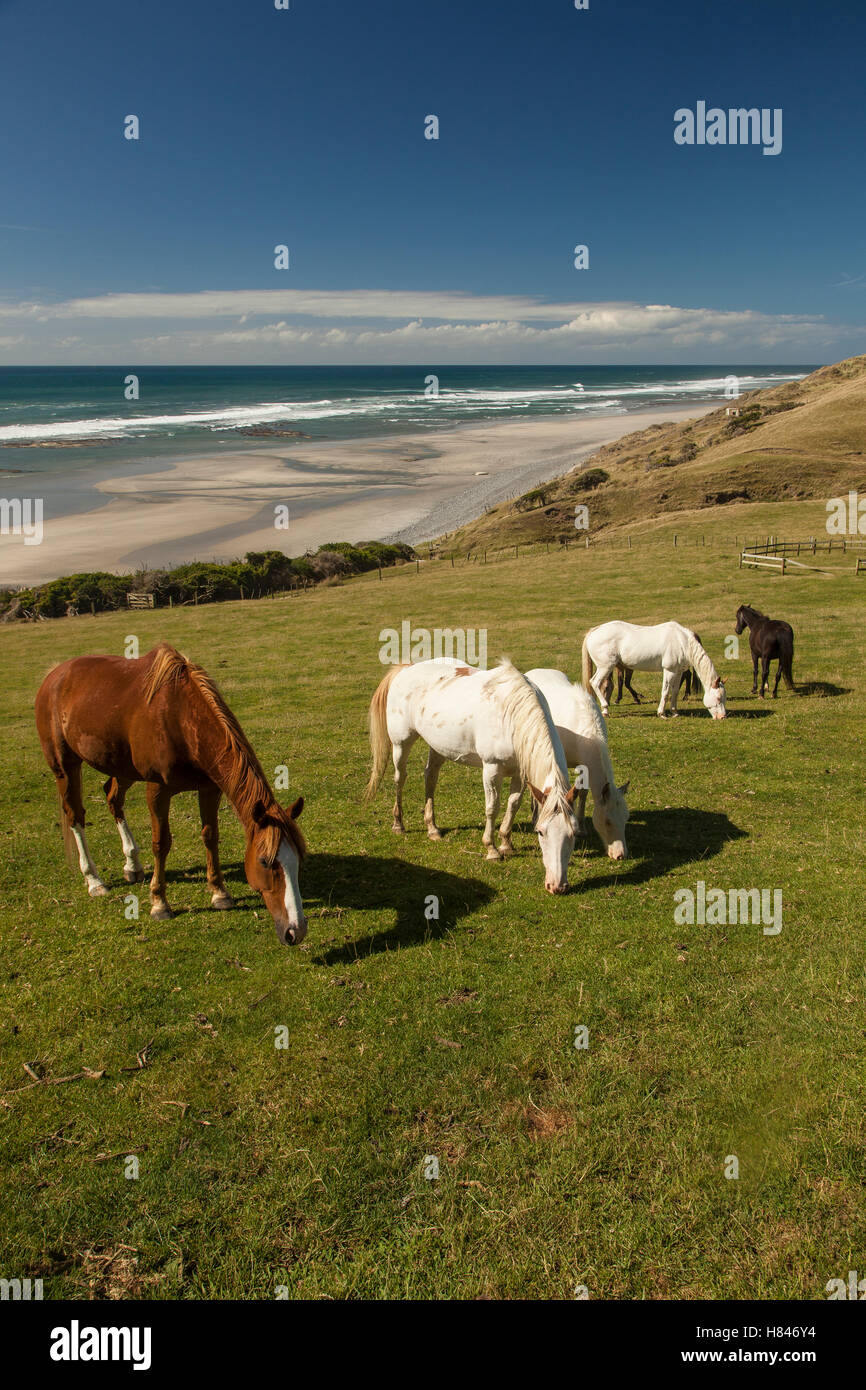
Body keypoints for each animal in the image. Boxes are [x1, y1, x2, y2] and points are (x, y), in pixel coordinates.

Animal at [34, 642, 308, 943]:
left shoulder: (209, 788)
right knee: (75, 815)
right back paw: (94, 880)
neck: (180, 718)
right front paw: (159, 903)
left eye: (298, 859)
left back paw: (132, 864)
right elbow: (161, 843)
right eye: (265, 862)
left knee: (112, 797)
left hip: (122, 767)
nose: (296, 930)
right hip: (65, 766)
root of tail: (54, 675)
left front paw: (220, 893)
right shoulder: (158, 789)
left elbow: (210, 836)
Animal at [365, 658, 578, 893]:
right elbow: (492, 808)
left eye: (574, 833)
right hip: (401, 743)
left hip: (437, 746)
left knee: (430, 777)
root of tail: (406, 668)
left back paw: (432, 828)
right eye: (540, 832)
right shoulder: (491, 769)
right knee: (400, 779)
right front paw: (491, 849)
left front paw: (506, 843)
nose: (557, 886)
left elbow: (513, 805)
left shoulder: (520, 774)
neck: (512, 715)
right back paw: (398, 824)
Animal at [525, 669, 630, 859]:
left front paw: (581, 827)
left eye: (626, 818)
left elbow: (583, 792)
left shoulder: (585, 765)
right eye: (607, 821)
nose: (621, 855)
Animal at [582, 621, 726, 719]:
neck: (681, 641)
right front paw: (661, 713)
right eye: (718, 698)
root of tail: (595, 630)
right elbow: (665, 692)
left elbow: (675, 691)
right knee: (595, 682)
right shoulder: (669, 671)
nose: (723, 717)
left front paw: (674, 712)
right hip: (606, 667)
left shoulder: (678, 672)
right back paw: (605, 707)